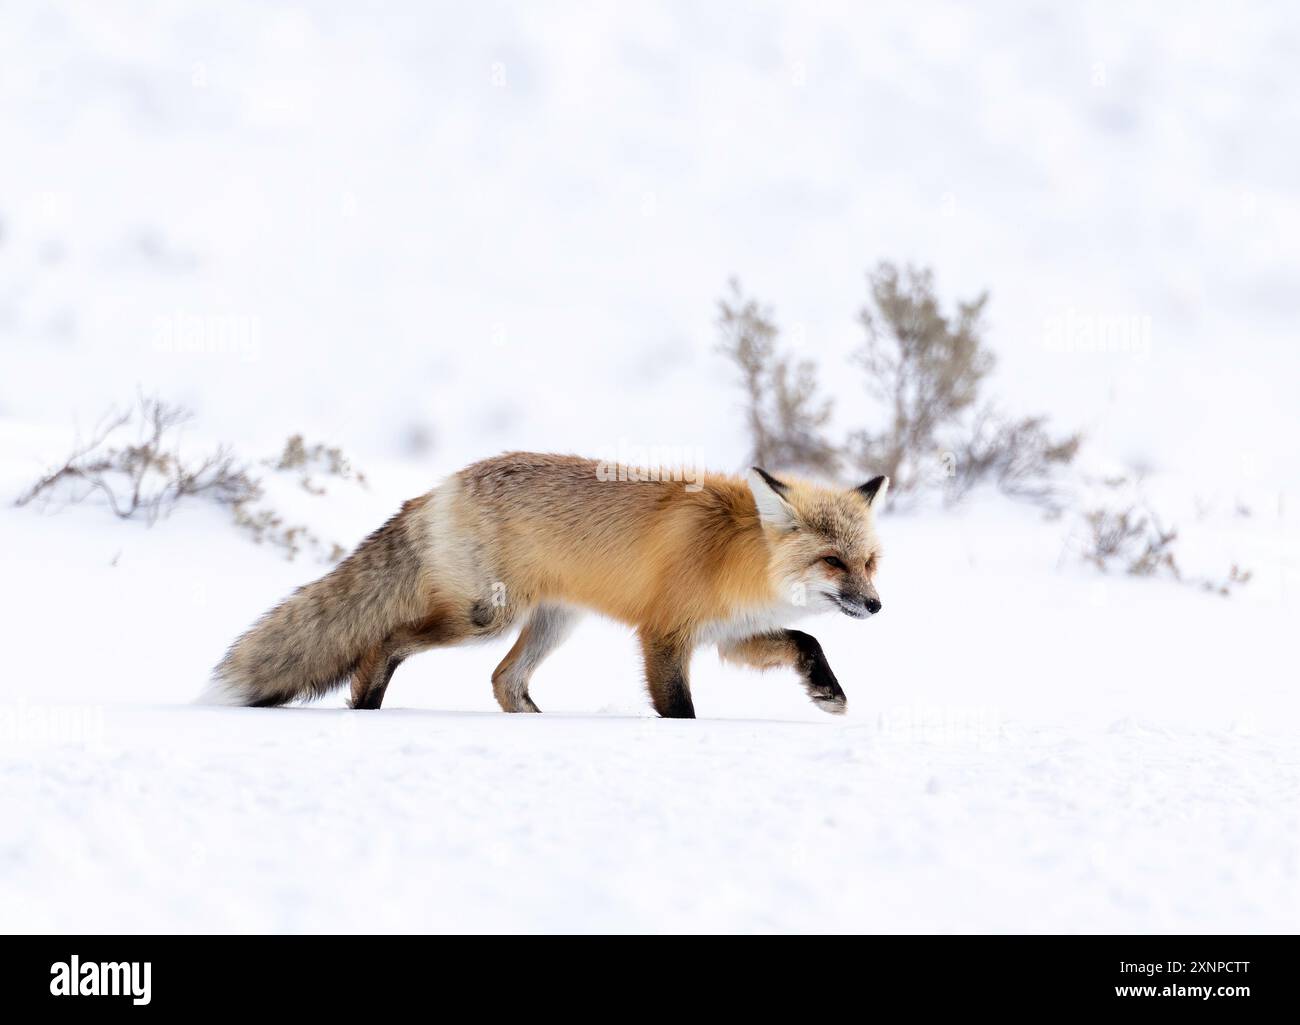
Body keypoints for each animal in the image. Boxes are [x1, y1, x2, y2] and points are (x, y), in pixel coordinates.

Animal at [205, 452, 888, 718]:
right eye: (833, 561)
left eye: (870, 562)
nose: (877, 605)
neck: (736, 556)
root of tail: (439, 487)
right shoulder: (665, 635)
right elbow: (680, 710)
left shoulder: (727, 636)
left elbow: (805, 640)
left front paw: (827, 693)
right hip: (485, 618)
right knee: (385, 642)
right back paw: (366, 706)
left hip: (553, 622)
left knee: (505, 682)